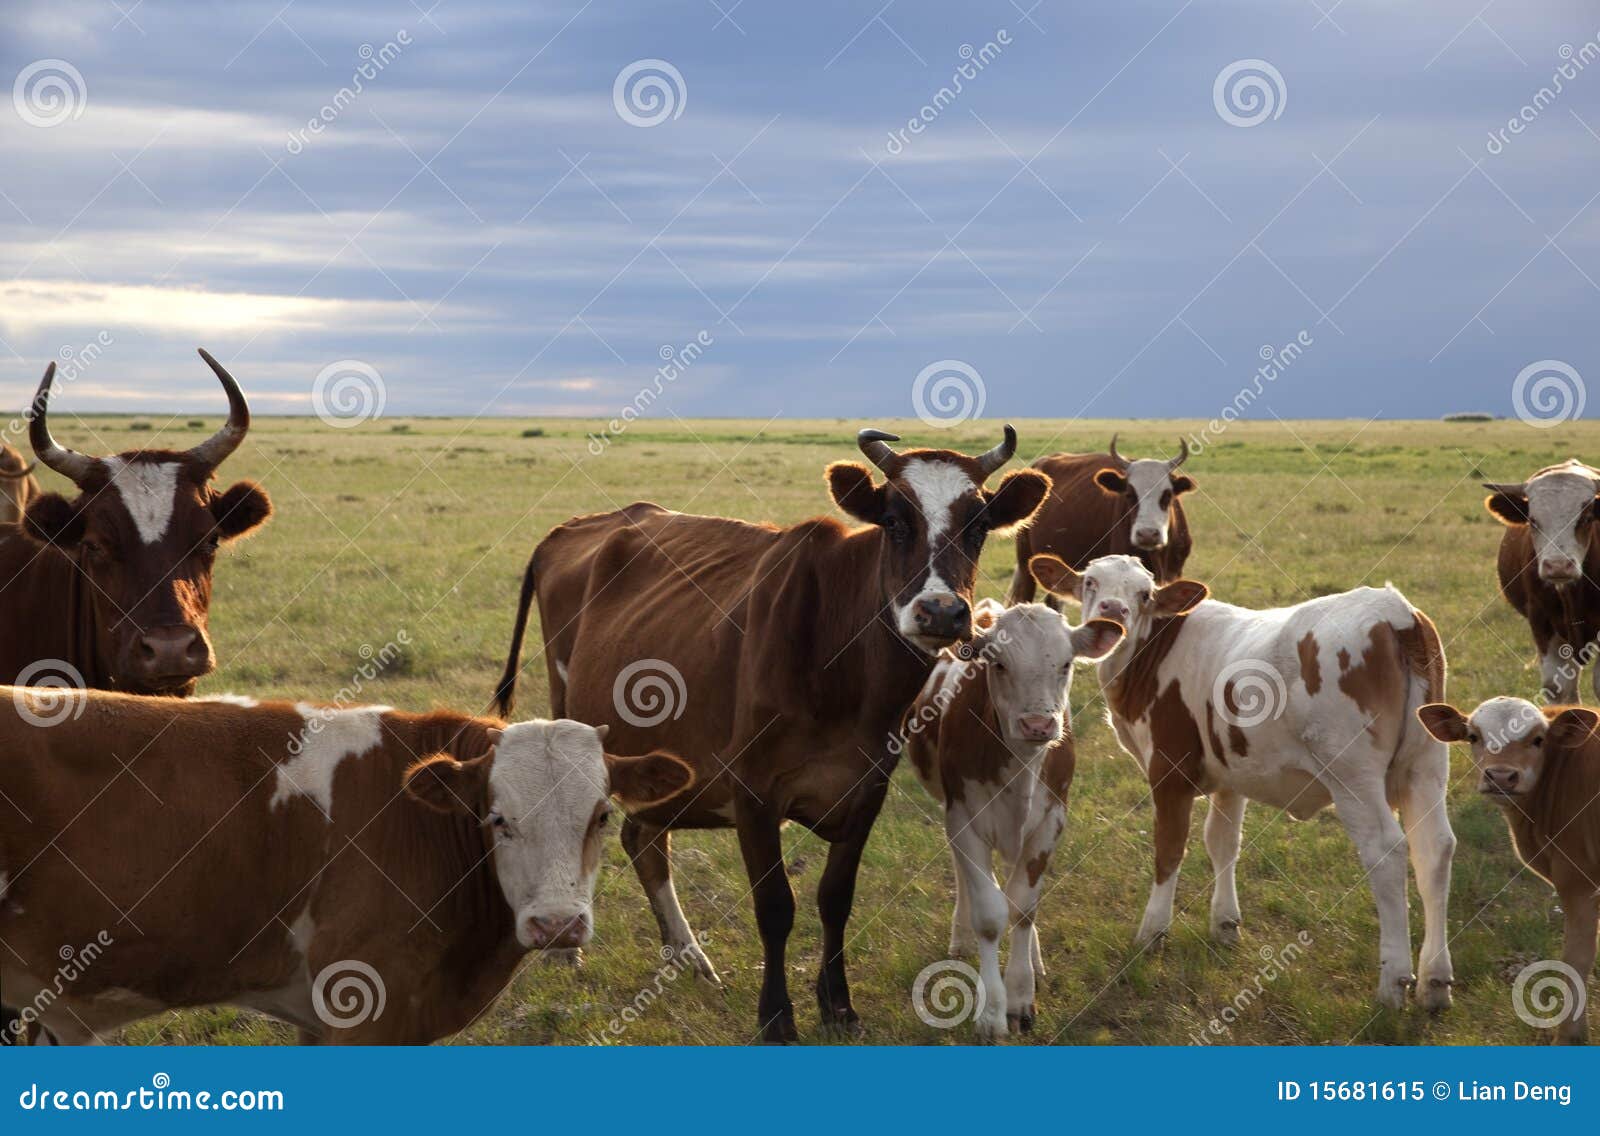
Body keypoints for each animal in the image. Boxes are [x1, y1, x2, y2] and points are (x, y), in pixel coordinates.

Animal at [493, 426, 1051, 1041]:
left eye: (978, 525)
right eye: (894, 519)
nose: (941, 612)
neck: (844, 670)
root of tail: (578, 526)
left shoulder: (868, 788)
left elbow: (835, 898)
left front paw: (837, 1005)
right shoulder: (754, 791)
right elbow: (776, 906)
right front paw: (777, 1016)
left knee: (644, 839)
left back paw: (687, 955)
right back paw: (567, 951)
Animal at [905, 597, 1123, 1039]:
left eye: (1066, 664)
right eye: (999, 663)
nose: (1037, 724)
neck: (1021, 766)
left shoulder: (1050, 821)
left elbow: (1023, 906)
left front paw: (1021, 996)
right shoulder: (963, 819)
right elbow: (990, 914)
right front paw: (991, 1011)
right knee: (966, 877)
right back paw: (961, 937)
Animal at [1027, 552, 1456, 1011]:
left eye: (1144, 593)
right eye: (1091, 582)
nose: (1113, 610)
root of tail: (1394, 610)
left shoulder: (1169, 770)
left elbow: (1169, 849)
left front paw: (1152, 932)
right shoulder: (1232, 775)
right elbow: (1223, 842)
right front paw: (1225, 924)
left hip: (1352, 771)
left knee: (1386, 851)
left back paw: (1393, 982)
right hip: (1426, 763)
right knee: (1434, 849)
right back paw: (1435, 981)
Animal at [1417, 697, 1599, 1045]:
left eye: (1538, 740)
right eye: (1473, 736)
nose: (1501, 776)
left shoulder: (1576, 879)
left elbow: (1577, 957)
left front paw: (1569, 1035)